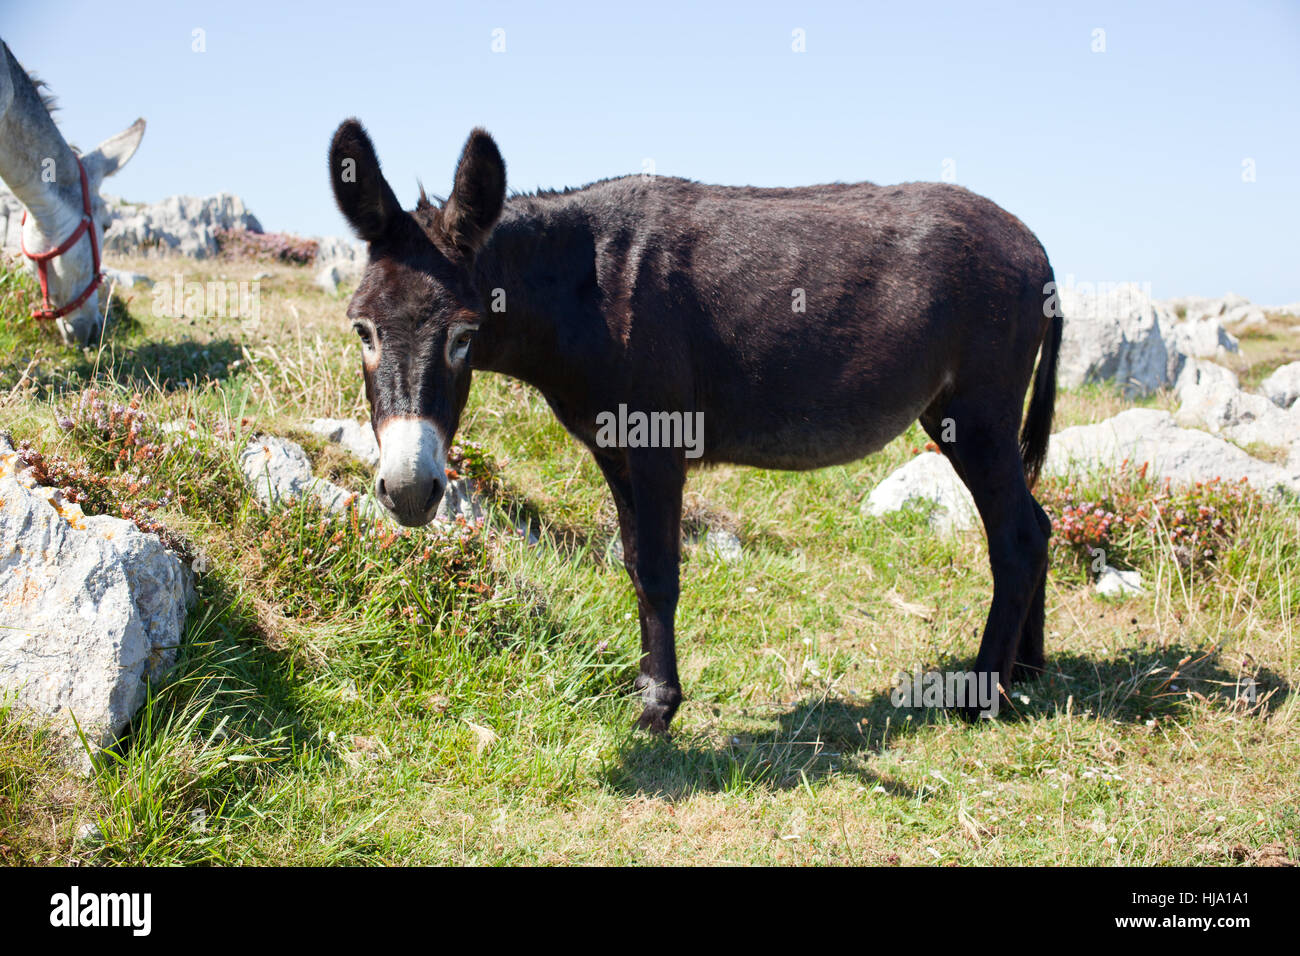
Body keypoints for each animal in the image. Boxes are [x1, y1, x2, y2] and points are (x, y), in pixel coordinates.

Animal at [327, 118, 1061, 732]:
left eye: (463, 336)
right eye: (363, 330)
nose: (409, 490)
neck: (584, 291)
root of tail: (1036, 245)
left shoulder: (659, 444)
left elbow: (658, 569)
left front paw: (658, 708)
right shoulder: (614, 449)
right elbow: (632, 563)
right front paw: (647, 689)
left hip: (978, 413)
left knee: (1018, 537)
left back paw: (983, 695)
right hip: (960, 416)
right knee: (1041, 523)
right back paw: (1027, 671)